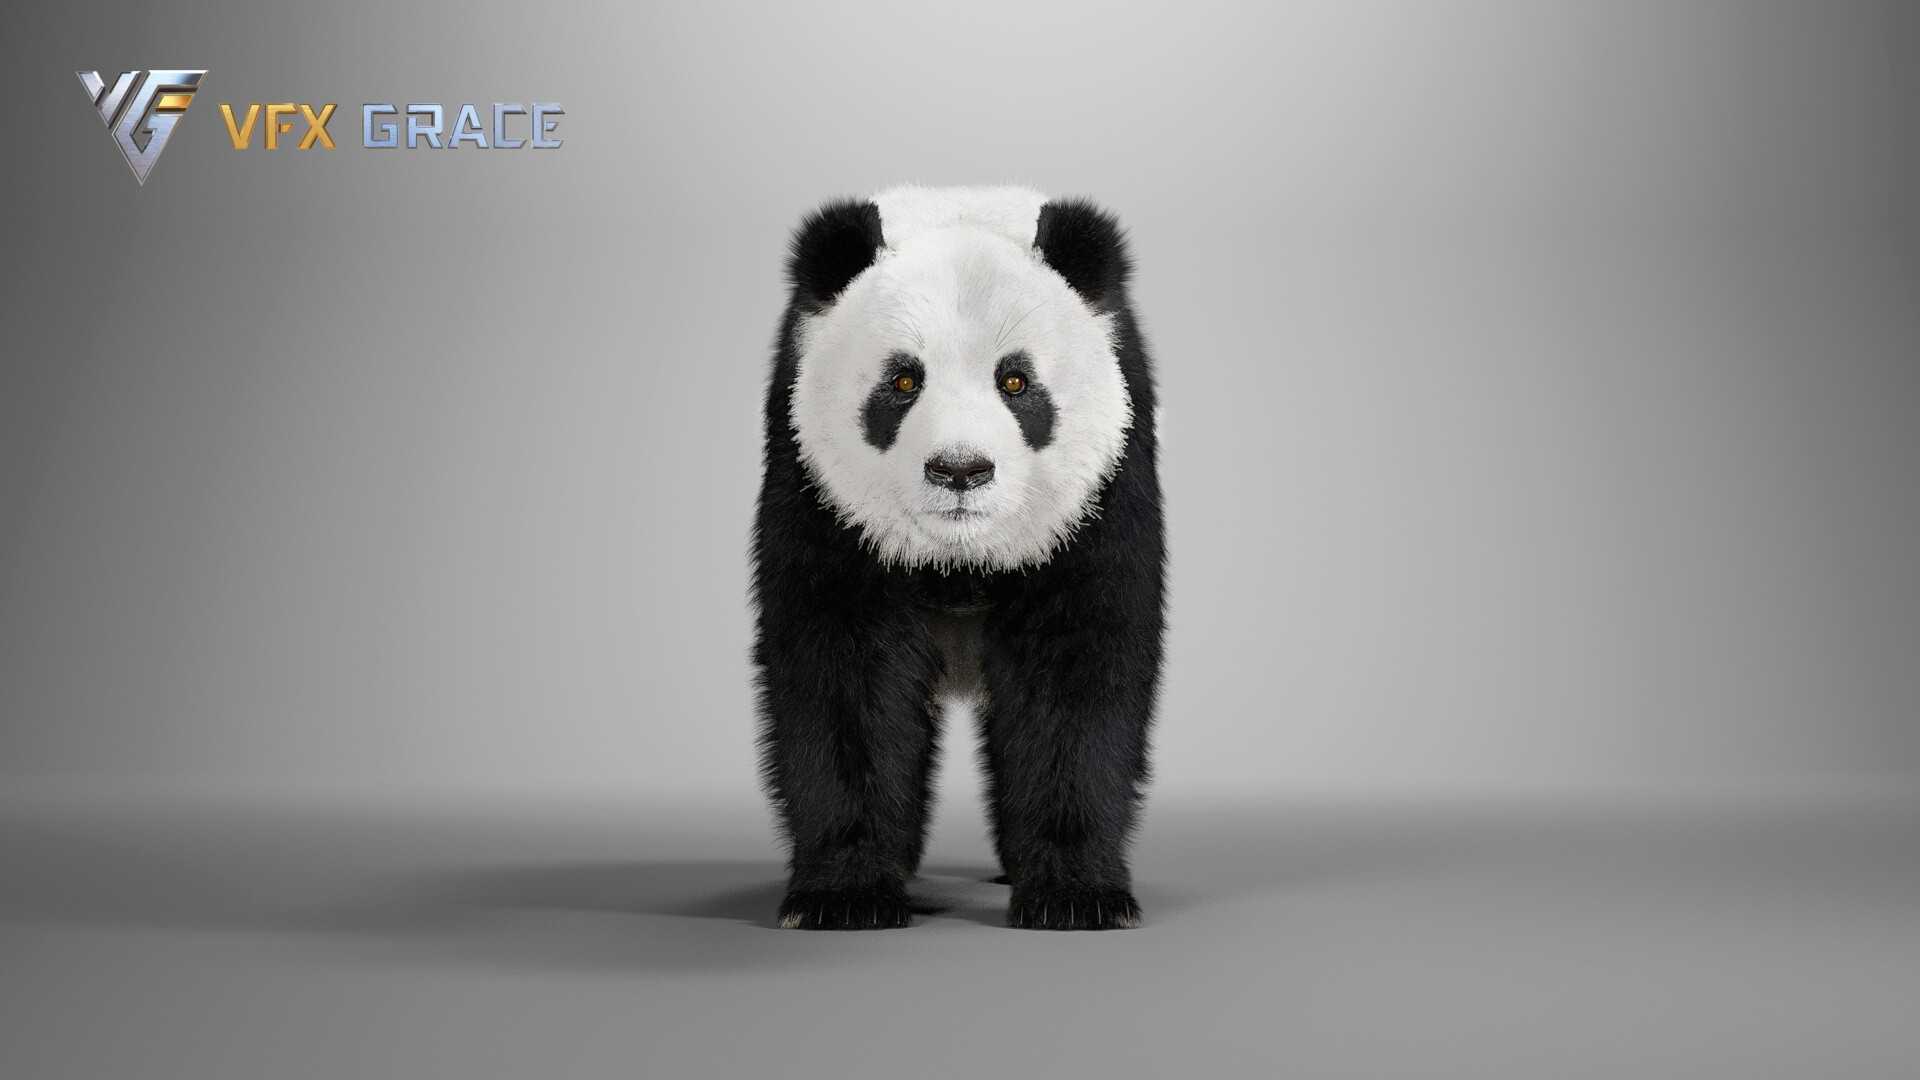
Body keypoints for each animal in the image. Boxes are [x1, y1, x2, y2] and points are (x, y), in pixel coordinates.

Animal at [753, 185, 1163, 930]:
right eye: (903, 381)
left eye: (1016, 382)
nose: (960, 470)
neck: (960, 560)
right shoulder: (817, 492)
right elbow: (843, 677)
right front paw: (845, 896)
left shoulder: (1103, 490)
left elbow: (1077, 672)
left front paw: (1075, 895)